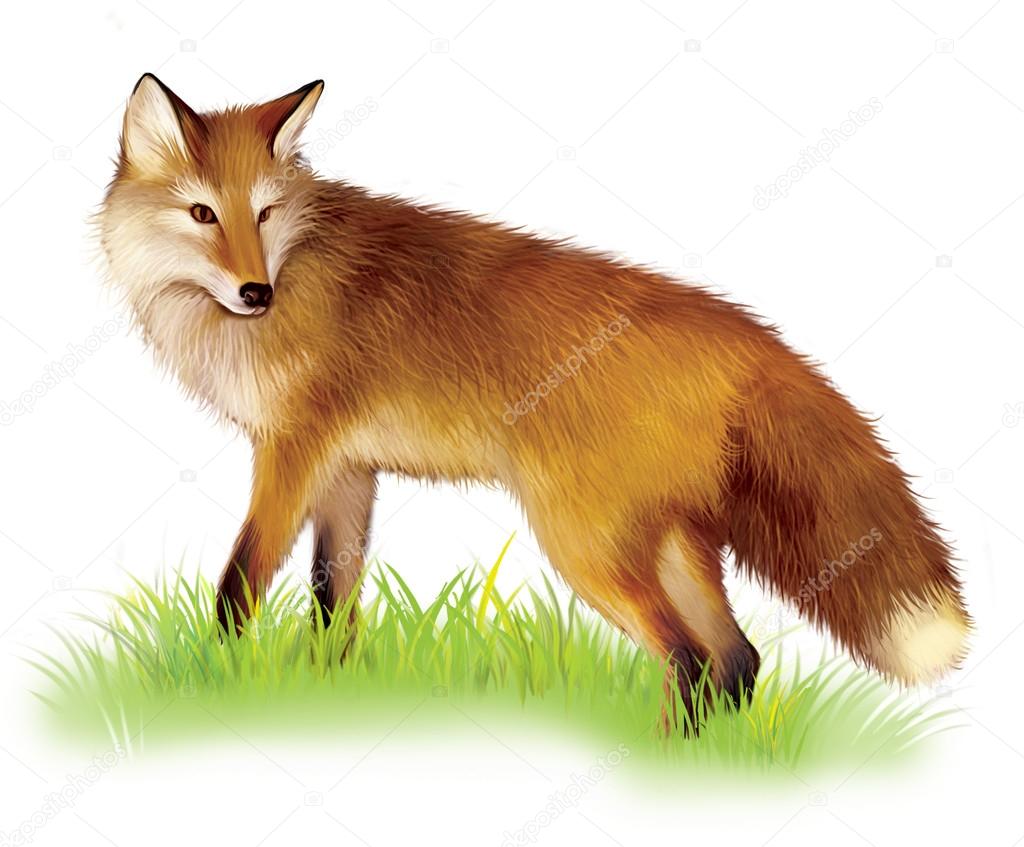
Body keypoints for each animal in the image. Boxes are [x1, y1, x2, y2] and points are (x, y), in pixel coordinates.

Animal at [98, 73, 969, 727]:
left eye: (266, 212)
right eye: (203, 213)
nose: (256, 291)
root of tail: (741, 327)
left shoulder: (293, 452)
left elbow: (238, 584)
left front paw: (210, 676)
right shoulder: (348, 469)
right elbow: (330, 600)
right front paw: (324, 689)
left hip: (584, 545)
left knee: (689, 657)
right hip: (663, 542)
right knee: (738, 658)